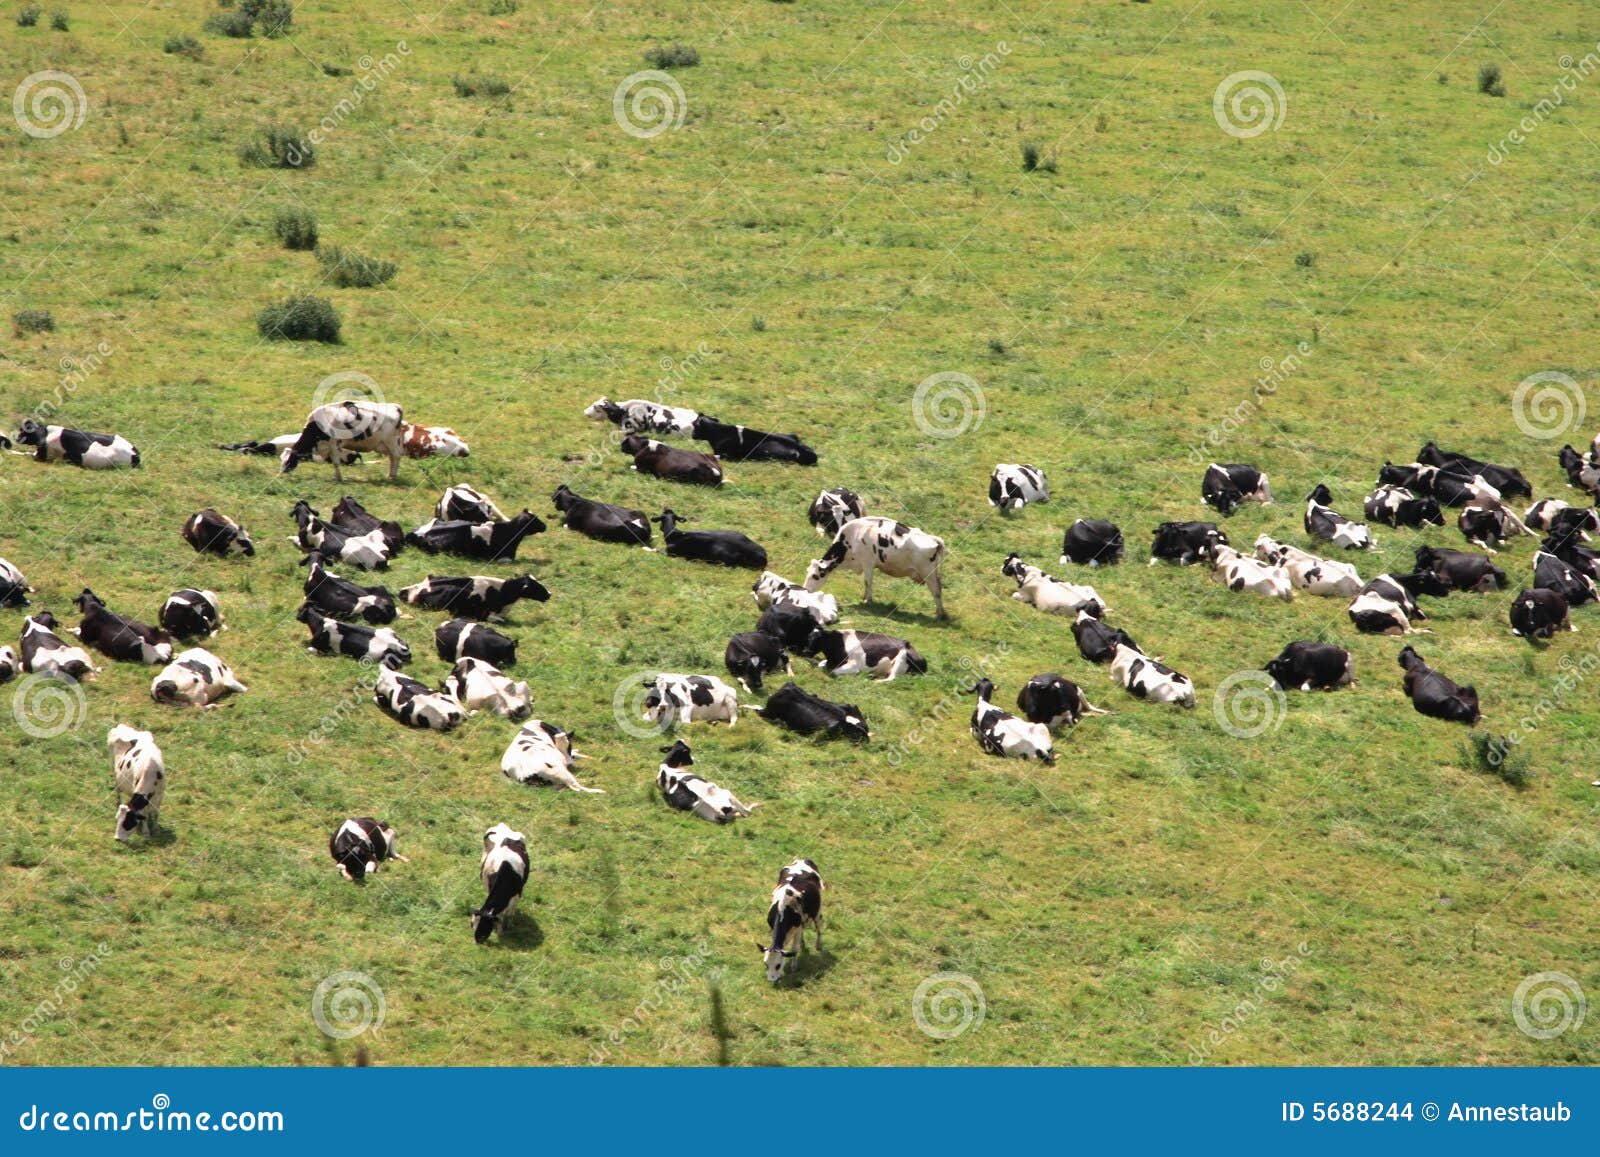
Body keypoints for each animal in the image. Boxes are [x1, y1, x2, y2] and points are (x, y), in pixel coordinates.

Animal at [805, 516, 947, 618]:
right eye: (808, 572)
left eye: (815, 576)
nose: (805, 589)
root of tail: (934, 539)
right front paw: (864, 597)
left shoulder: (867, 563)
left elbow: (867, 582)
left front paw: (868, 600)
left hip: (928, 573)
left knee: (936, 590)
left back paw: (939, 614)